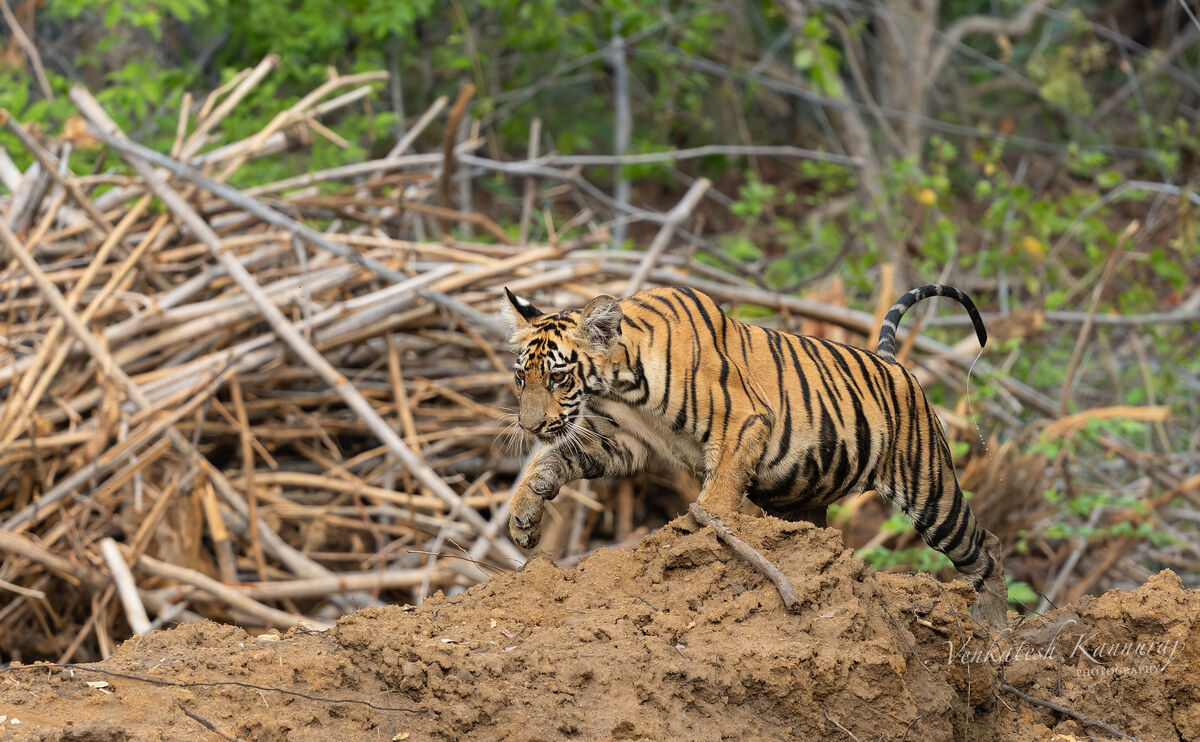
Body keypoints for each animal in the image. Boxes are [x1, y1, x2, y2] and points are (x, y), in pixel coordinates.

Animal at [499, 284, 1008, 629]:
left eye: (559, 377)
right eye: (522, 377)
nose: (529, 426)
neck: (621, 383)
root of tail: (894, 363)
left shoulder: (743, 422)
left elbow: (718, 497)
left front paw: (694, 544)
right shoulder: (622, 440)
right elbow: (555, 460)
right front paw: (524, 514)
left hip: (929, 489)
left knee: (987, 548)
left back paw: (996, 631)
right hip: (805, 500)